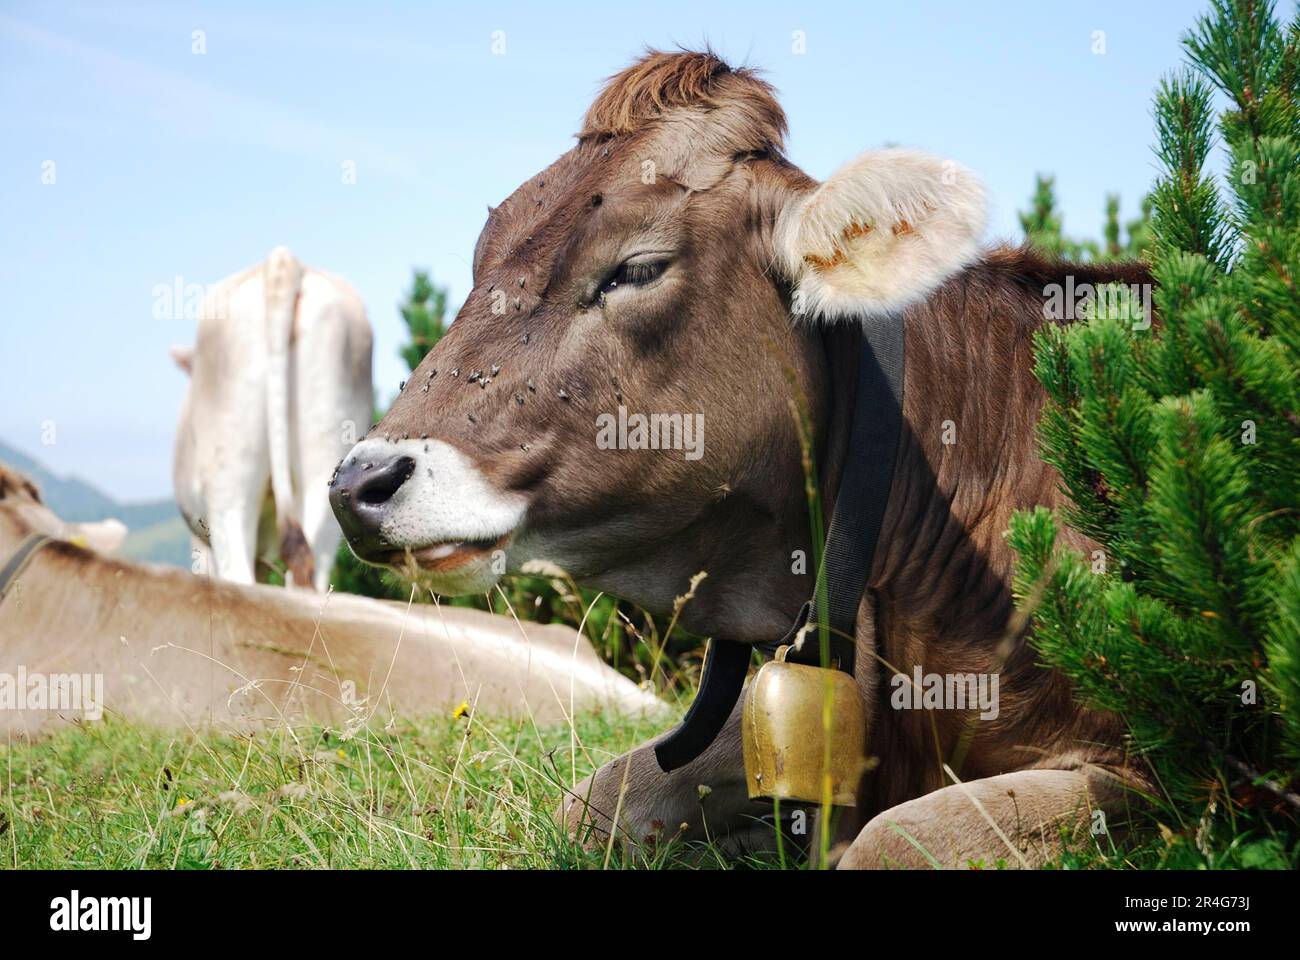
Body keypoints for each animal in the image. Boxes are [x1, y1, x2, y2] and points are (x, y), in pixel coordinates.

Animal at [327, 50, 1152, 868]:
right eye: (481, 263)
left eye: (638, 269)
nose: (359, 483)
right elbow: (595, 802)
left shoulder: (1153, 771)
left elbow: (892, 844)